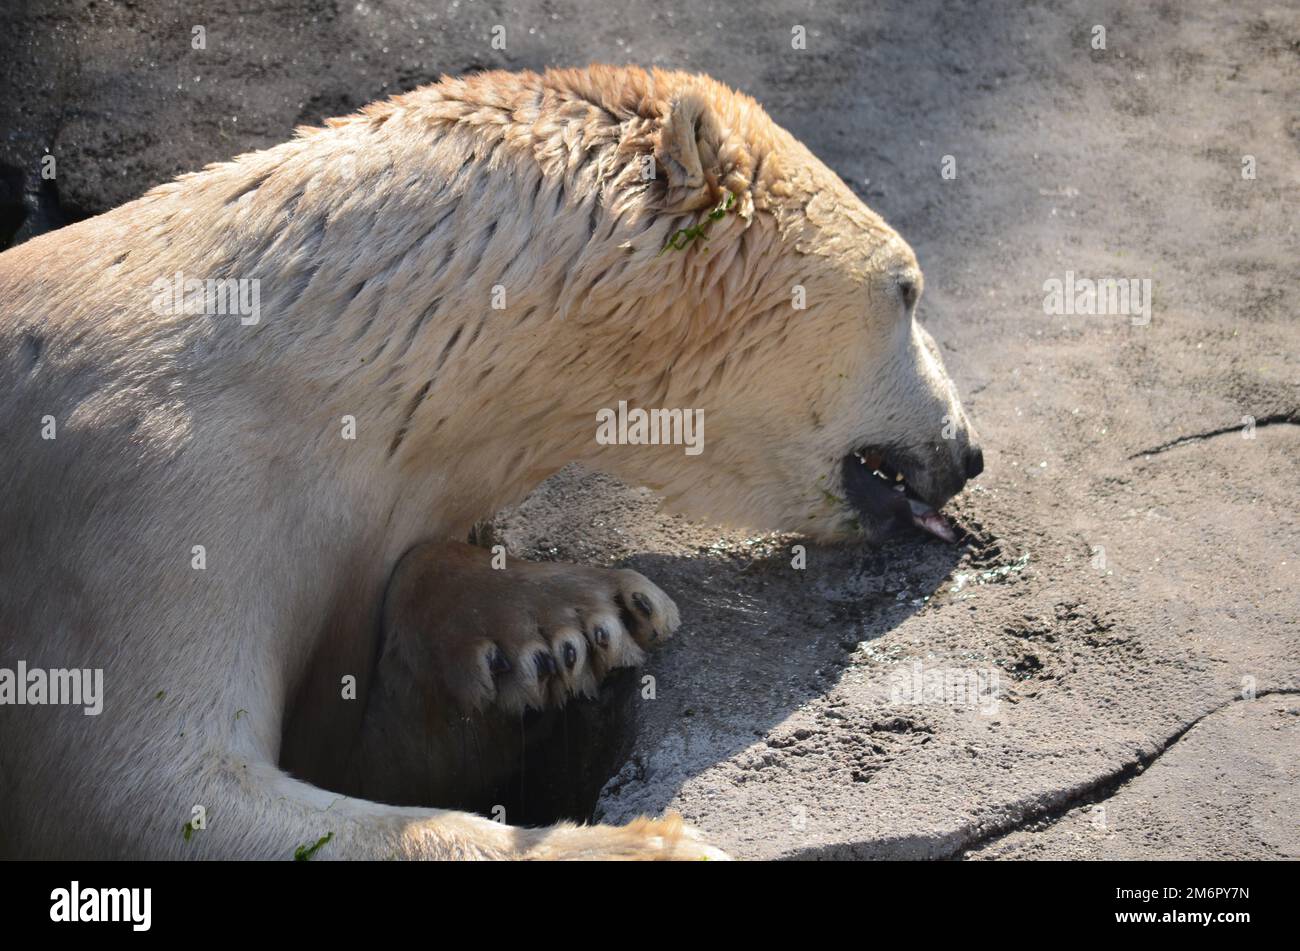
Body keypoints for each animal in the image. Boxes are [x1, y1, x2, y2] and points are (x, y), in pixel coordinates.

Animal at [0, 65, 981, 859]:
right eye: (907, 288)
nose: (968, 451)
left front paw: (568, 623)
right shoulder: (152, 492)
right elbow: (151, 790)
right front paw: (649, 842)